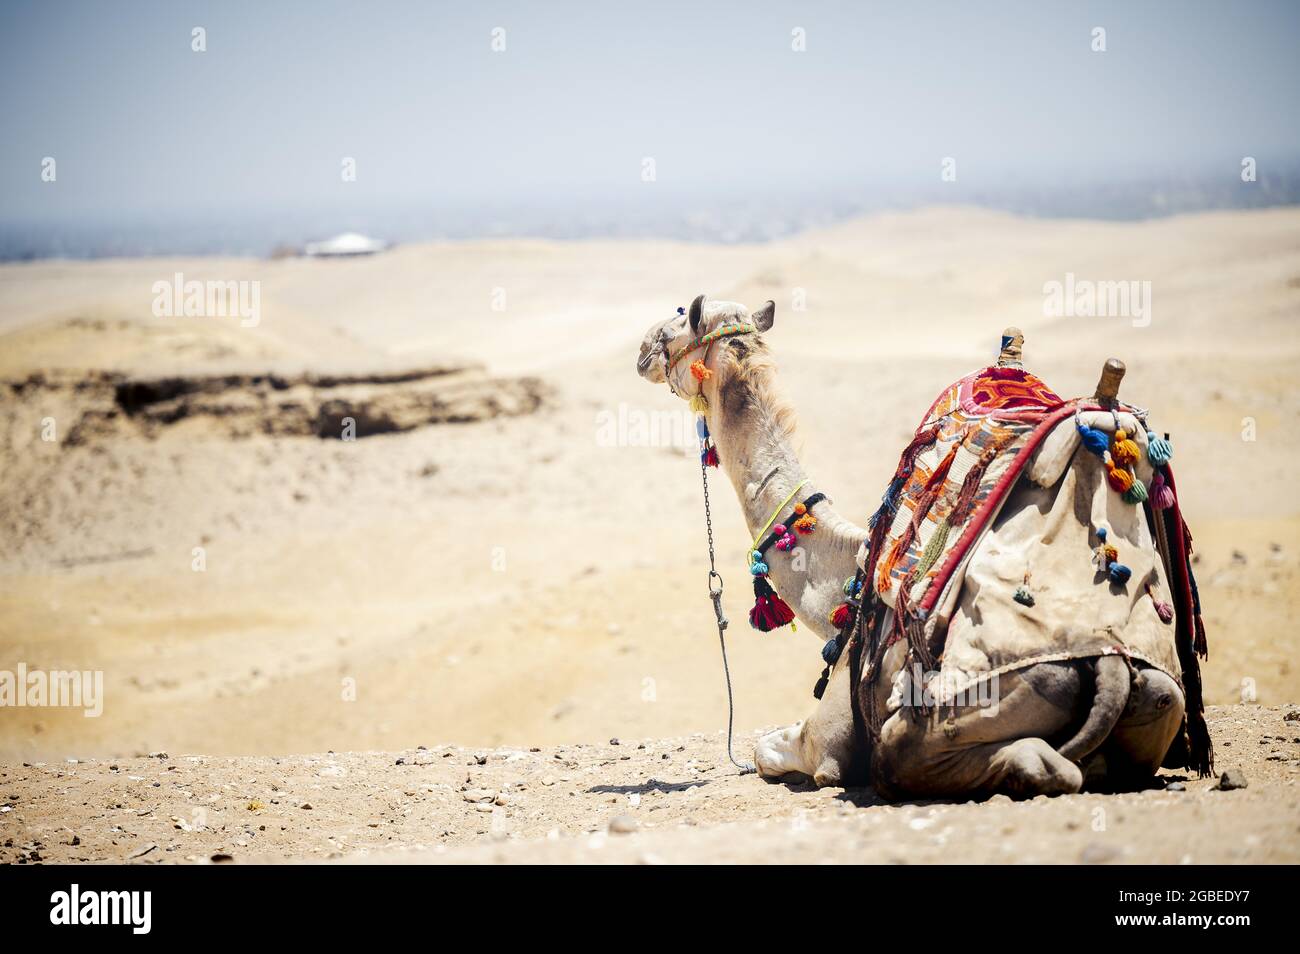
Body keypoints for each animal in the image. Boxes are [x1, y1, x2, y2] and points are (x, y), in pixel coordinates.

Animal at [637, 295, 1207, 800]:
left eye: (679, 320)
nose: (642, 346)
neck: (845, 578)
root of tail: (1111, 662)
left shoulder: (826, 739)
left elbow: (768, 752)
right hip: (1162, 699)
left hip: (945, 712)